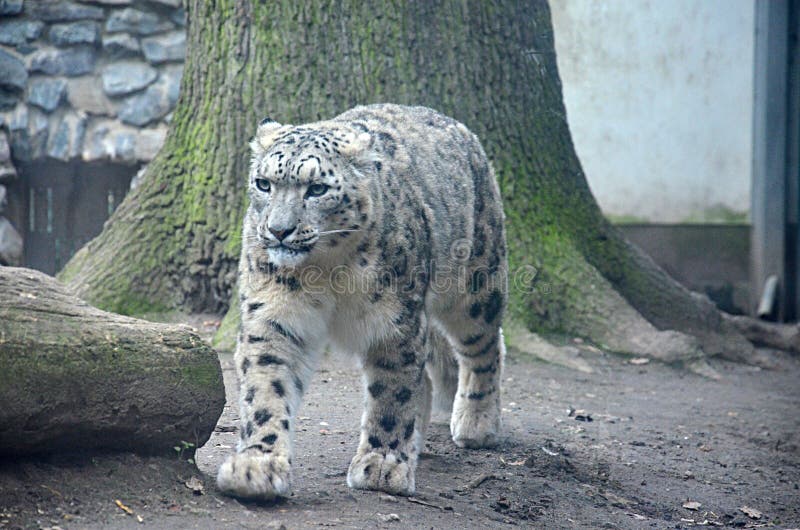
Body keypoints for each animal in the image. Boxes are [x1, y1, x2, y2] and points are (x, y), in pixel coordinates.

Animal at [217, 103, 507, 500]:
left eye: (317, 188)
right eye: (264, 183)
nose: (278, 230)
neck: (324, 269)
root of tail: (457, 125)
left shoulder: (393, 323)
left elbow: (392, 393)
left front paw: (383, 464)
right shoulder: (274, 318)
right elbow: (266, 389)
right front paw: (256, 466)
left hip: (473, 284)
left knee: (484, 345)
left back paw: (476, 423)